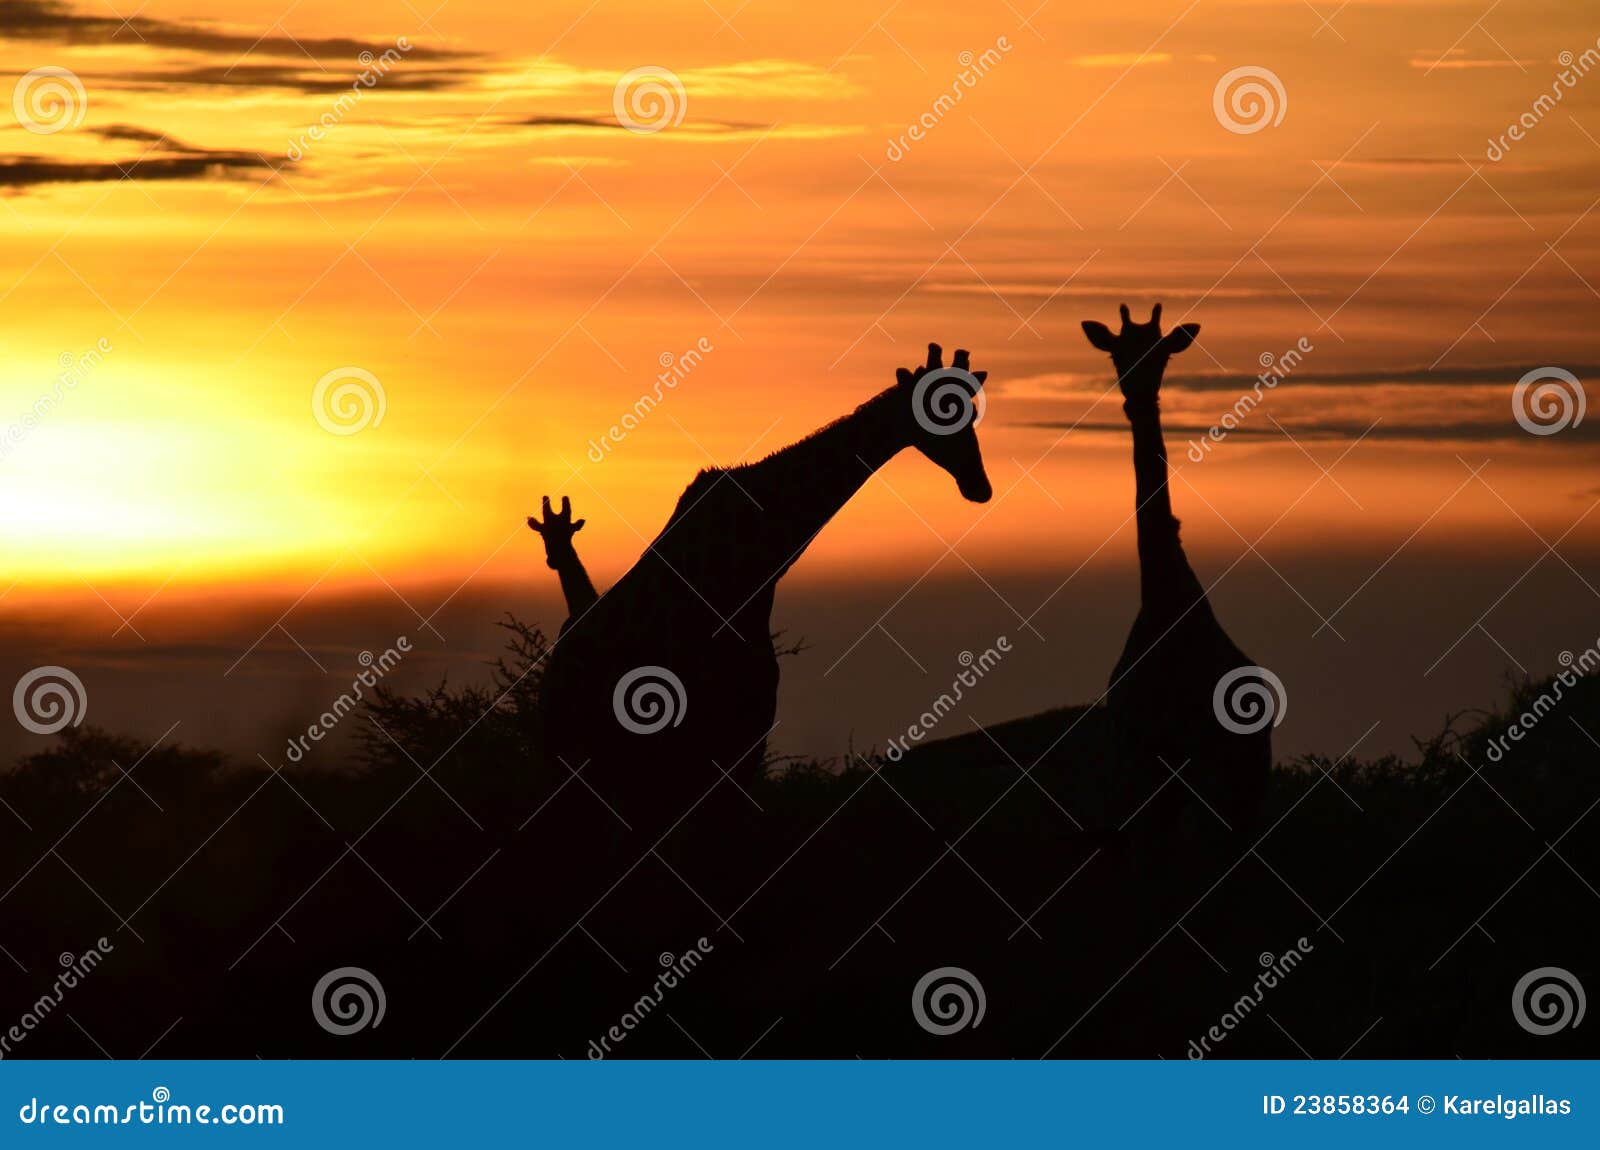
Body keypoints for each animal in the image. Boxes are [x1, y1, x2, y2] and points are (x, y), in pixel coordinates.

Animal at [1081, 304, 1272, 867]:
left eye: (1162, 355)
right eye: (1117, 354)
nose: (1137, 398)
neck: (1164, 600)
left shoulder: (1193, 755)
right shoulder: (1136, 752)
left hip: (1242, 778)